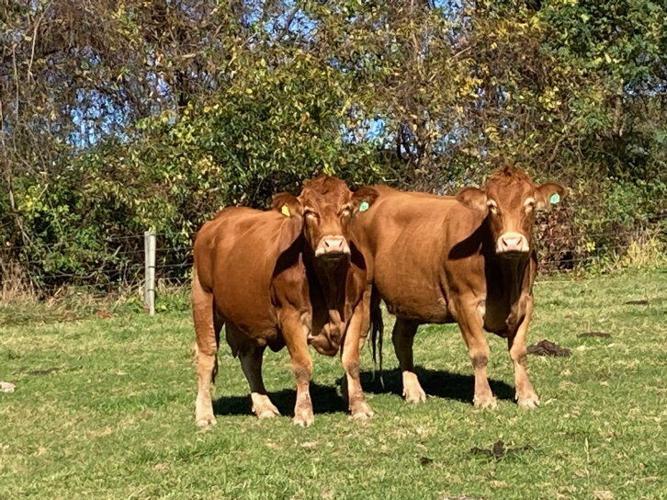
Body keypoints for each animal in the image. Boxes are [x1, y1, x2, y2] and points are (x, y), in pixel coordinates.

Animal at [192, 175, 379, 427]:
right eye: (309, 212)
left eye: (346, 209)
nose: (333, 244)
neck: (330, 284)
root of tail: (215, 222)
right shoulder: (291, 316)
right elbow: (302, 365)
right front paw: (303, 413)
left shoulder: (357, 310)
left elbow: (351, 361)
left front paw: (360, 408)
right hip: (203, 297)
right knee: (206, 355)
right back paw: (204, 415)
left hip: (250, 315)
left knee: (250, 359)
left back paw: (264, 407)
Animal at [352, 166, 565, 409]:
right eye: (492, 206)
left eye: (529, 204)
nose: (511, 242)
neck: (506, 279)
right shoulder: (463, 303)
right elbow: (480, 352)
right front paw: (484, 398)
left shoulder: (526, 301)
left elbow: (519, 352)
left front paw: (527, 396)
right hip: (365, 294)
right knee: (358, 340)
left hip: (410, 298)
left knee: (401, 340)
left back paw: (414, 391)